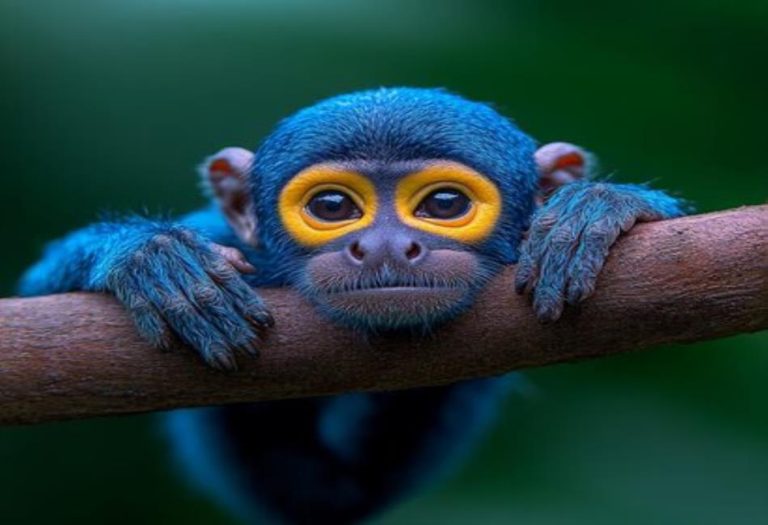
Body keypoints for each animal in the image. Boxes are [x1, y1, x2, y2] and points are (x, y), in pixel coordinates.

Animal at [18, 88, 685, 524]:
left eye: (444, 203)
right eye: (334, 207)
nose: (385, 247)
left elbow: (348, 491)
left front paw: (600, 207)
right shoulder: (231, 243)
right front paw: (149, 257)